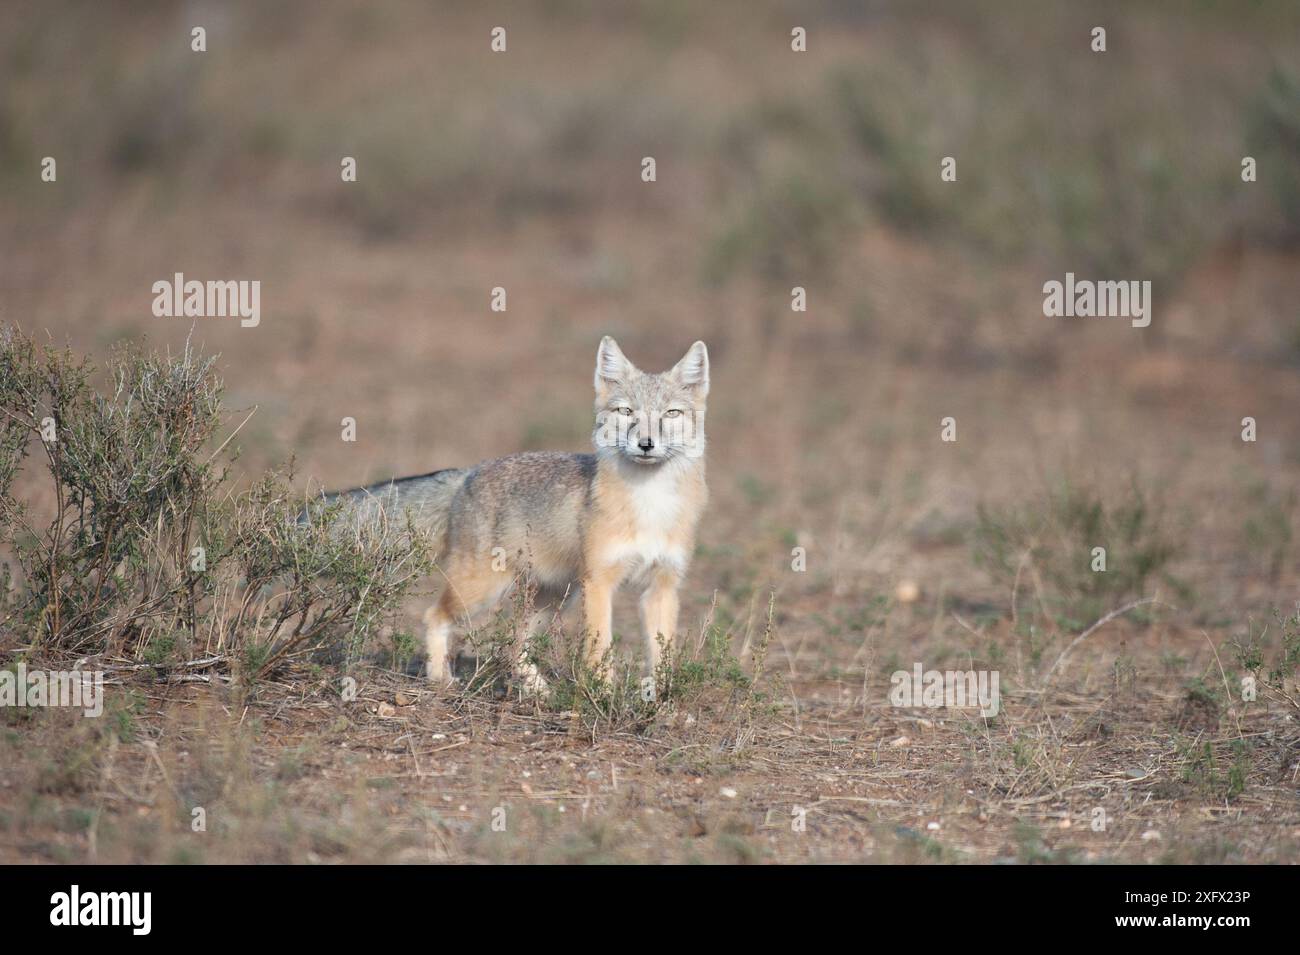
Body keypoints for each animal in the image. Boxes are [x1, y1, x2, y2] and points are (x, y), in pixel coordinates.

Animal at [325, 337, 709, 690]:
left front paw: (660, 701)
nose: (645, 444)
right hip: (484, 588)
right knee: (435, 616)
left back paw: (537, 689)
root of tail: (471, 470)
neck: (650, 504)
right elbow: (599, 649)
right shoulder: (599, 582)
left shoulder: (663, 585)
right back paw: (440, 677)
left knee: (513, 648)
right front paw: (600, 695)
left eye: (671, 414)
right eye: (626, 412)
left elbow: (662, 656)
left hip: (553, 597)